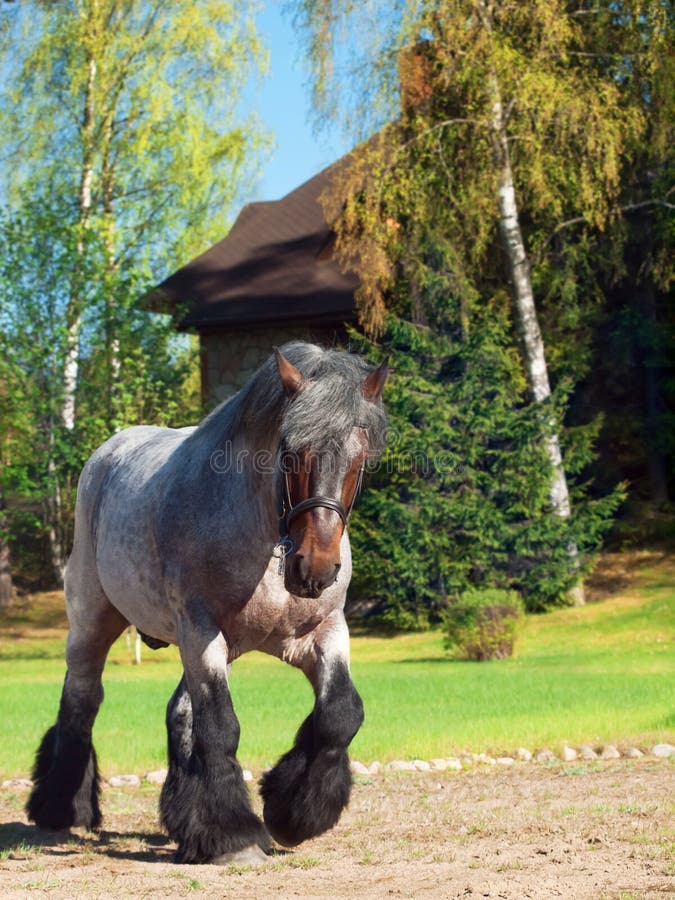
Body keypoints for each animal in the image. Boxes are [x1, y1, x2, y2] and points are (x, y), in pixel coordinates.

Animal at [26, 342, 387, 865]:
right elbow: (220, 727)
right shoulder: (201, 632)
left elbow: (341, 713)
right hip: (94, 621)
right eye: (291, 451)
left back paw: (184, 820)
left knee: (178, 712)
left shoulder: (321, 634)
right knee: (82, 700)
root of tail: (106, 457)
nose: (315, 569)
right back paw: (61, 808)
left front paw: (293, 813)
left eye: (361, 459)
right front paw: (235, 835)